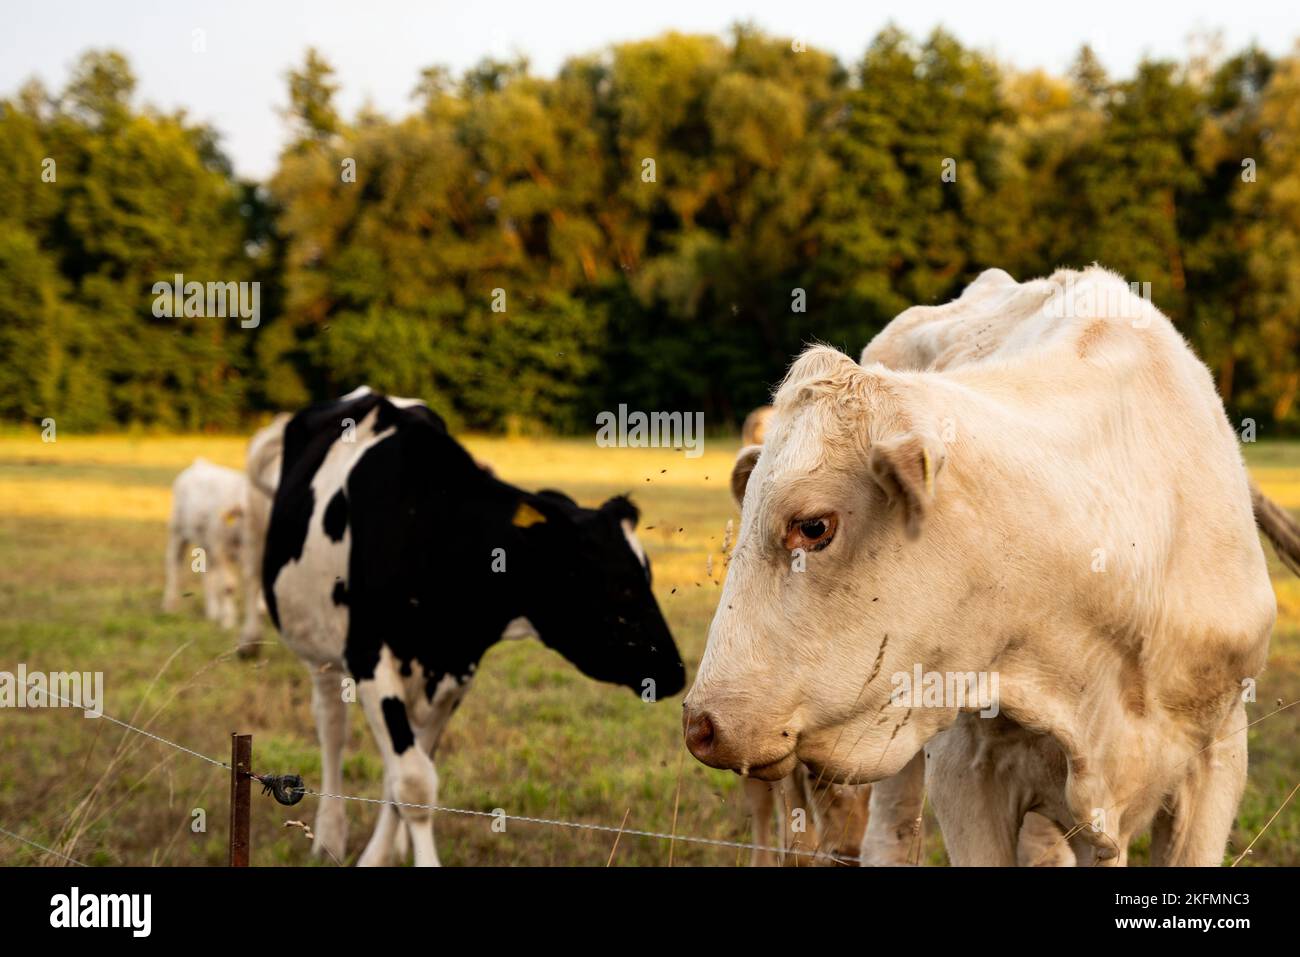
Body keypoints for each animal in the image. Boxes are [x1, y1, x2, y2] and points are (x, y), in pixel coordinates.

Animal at [162, 459, 251, 631]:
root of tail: (200, 463)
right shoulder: (221, 550)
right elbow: (228, 586)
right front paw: (228, 621)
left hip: (206, 543)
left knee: (208, 575)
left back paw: (213, 612)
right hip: (178, 531)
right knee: (174, 564)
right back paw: (170, 606)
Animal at [263, 388, 685, 865]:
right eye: (620, 586)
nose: (675, 671)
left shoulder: (457, 670)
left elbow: (407, 777)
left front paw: (386, 851)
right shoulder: (369, 656)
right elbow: (413, 784)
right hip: (320, 654)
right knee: (332, 730)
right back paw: (329, 836)